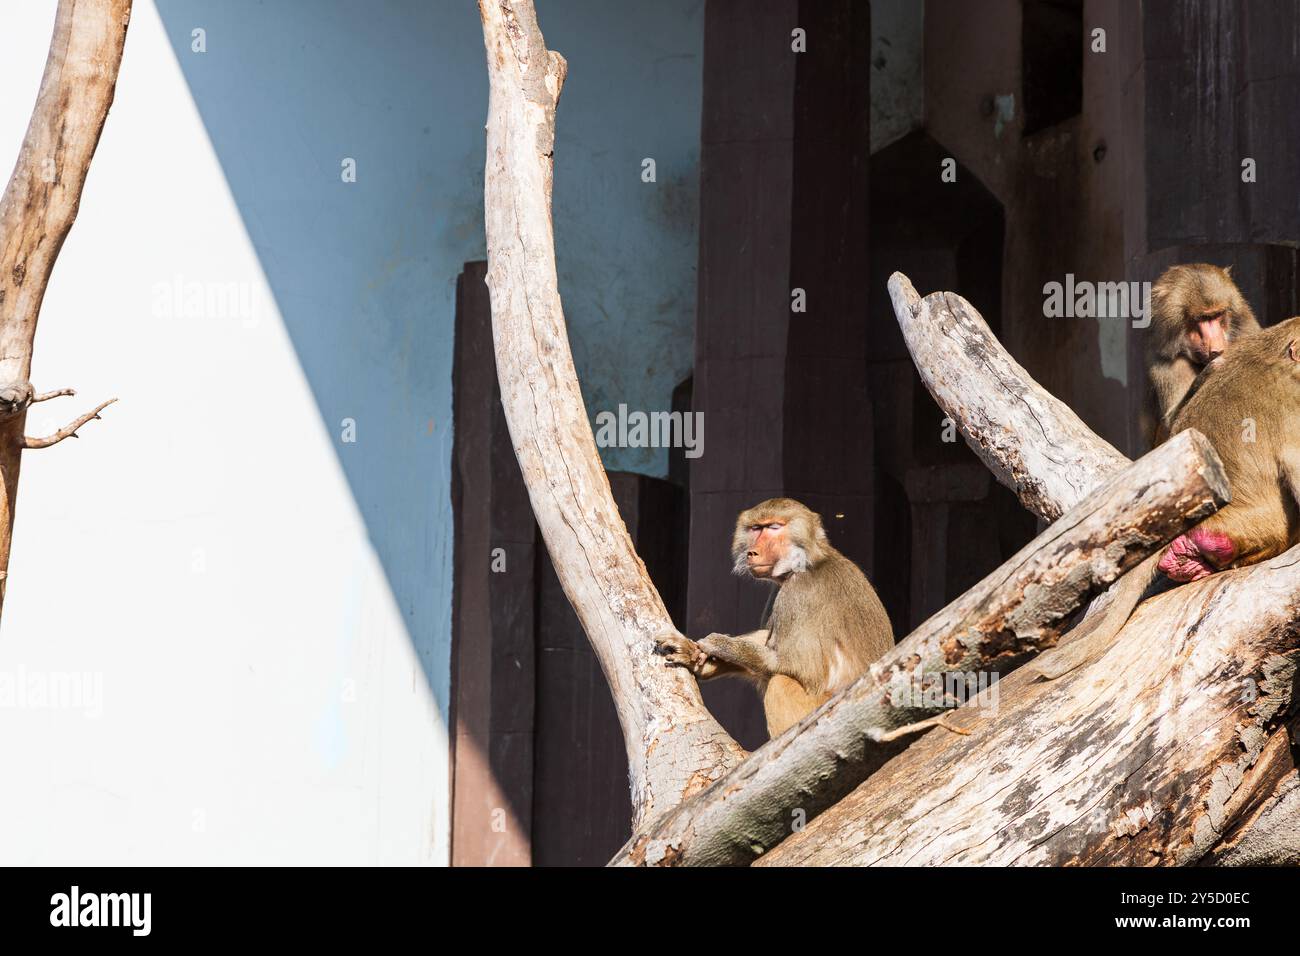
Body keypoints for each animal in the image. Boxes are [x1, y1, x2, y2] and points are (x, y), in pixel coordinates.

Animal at [654, 498, 894, 739]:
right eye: (756, 529)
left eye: (774, 528)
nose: (752, 553)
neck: (811, 561)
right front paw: (696, 657)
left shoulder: (798, 593)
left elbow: (798, 669)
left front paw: (720, 646)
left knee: (779, 682)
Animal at [1145, 263, 1260, 445]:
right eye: (1202, 318)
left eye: (1218, 315)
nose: (1218, 349)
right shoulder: (1161, 359)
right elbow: (1174, 429)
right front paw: (1213, 370)